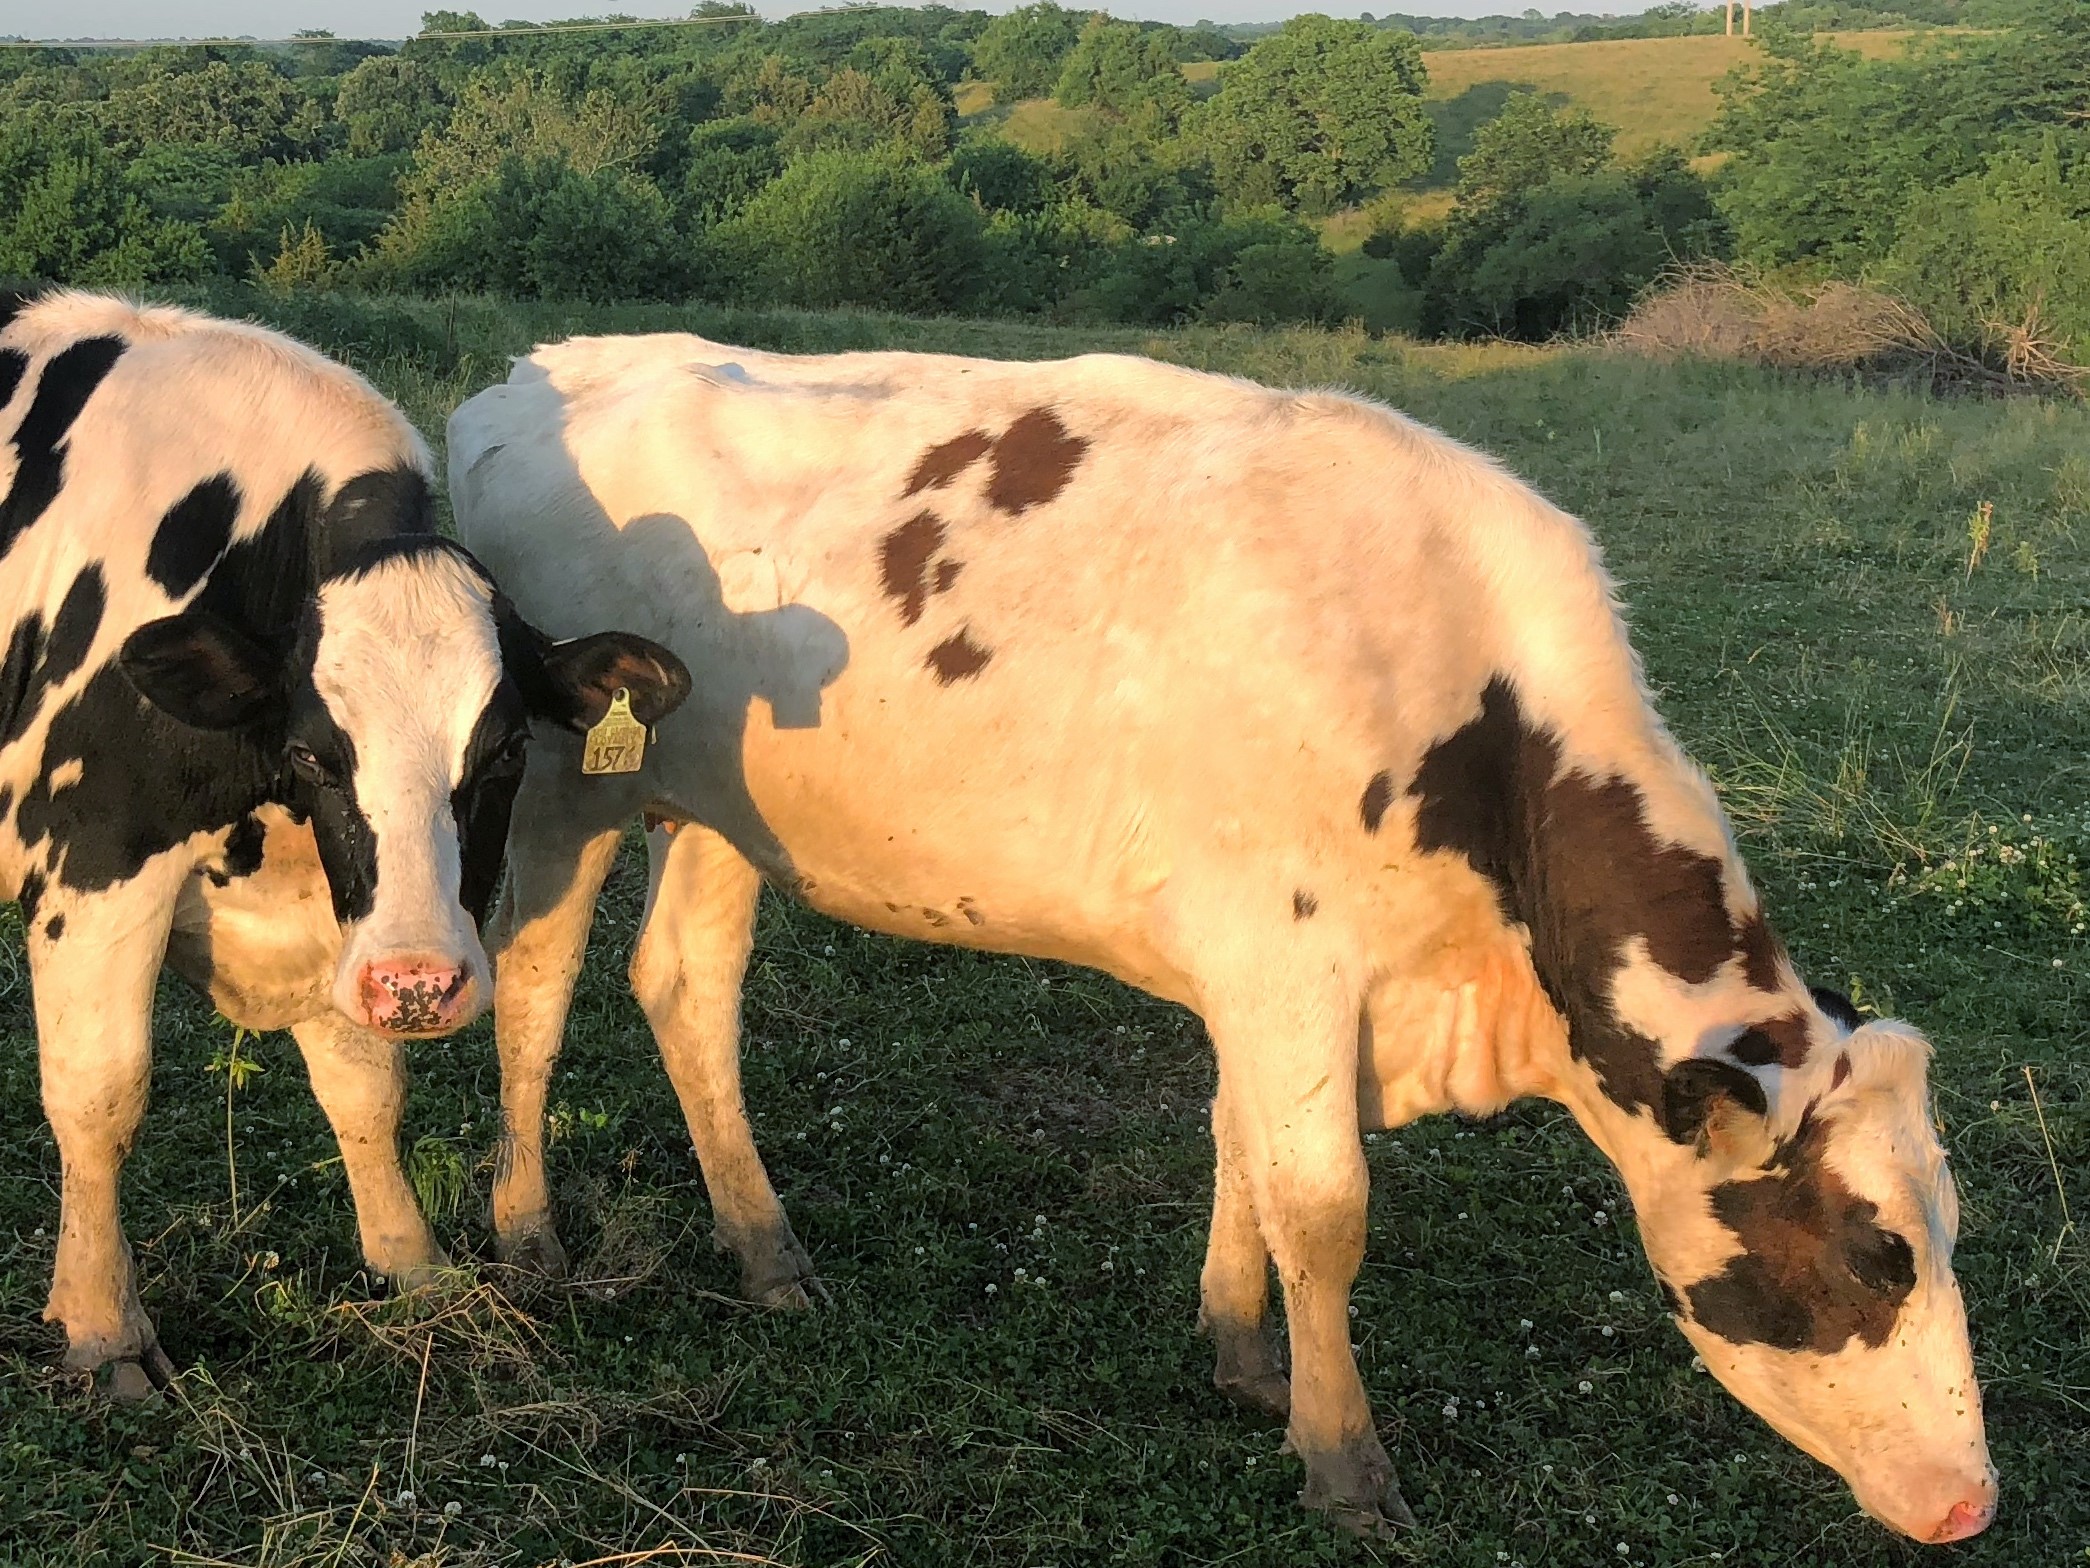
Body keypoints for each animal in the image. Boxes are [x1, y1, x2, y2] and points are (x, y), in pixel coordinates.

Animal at [0, 291, 688, 1398]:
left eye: (506, 751)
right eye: (315, 753)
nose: (423, 983)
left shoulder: (342, 918)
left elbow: (366, 1085)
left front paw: (413, 1265)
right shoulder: (97, 859)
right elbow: (99, 1093)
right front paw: (104, 1327)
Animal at [447, 334, 1996, 1544]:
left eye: (1947, 1229)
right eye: (1872, 1255)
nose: (1971, 1499)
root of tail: (537, 372)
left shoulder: (1274, 980)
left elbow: (1243, 1148)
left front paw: (1243, 1349)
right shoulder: (1288, 953)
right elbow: (1321, 1200)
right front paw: (1342, 1458)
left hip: (715, 807)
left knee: (685, 987)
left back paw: (766, 1248)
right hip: (565, 780)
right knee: (532, 978)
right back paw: (527, 1230)